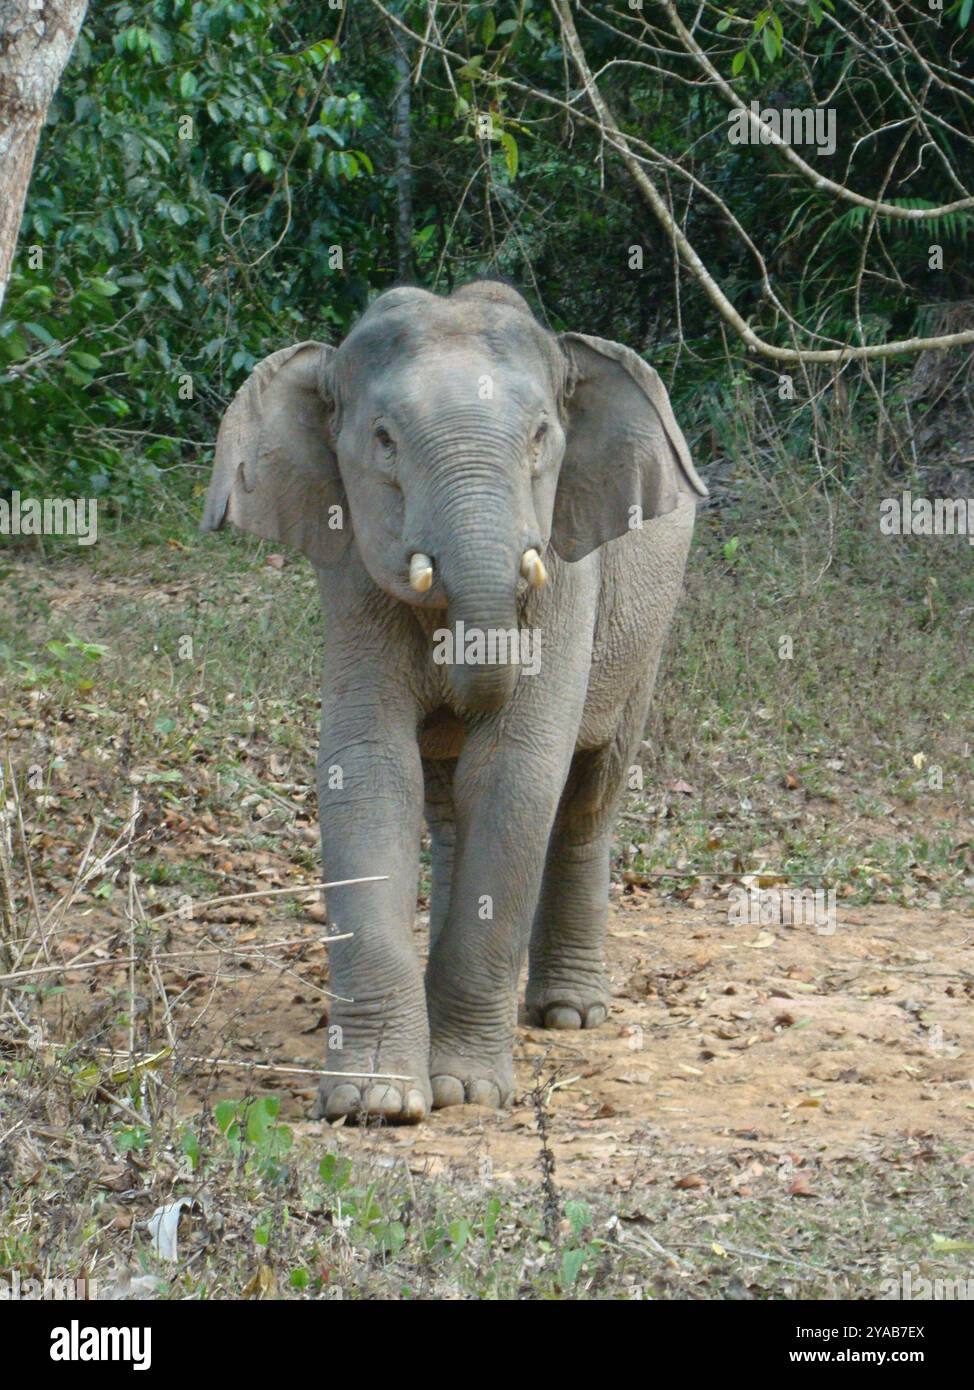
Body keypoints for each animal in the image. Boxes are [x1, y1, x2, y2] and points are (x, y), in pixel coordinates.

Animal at [201, 280, 707, 1123]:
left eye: (541, 437)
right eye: (383, 440)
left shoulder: (567, 567)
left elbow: (512, 772)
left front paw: (464, 1091)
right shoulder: (352, 568)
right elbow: (372, 769)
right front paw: (376, 1101)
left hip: (653, 625)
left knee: (589, 794)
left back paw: (569, 1013)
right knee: (446, 810)